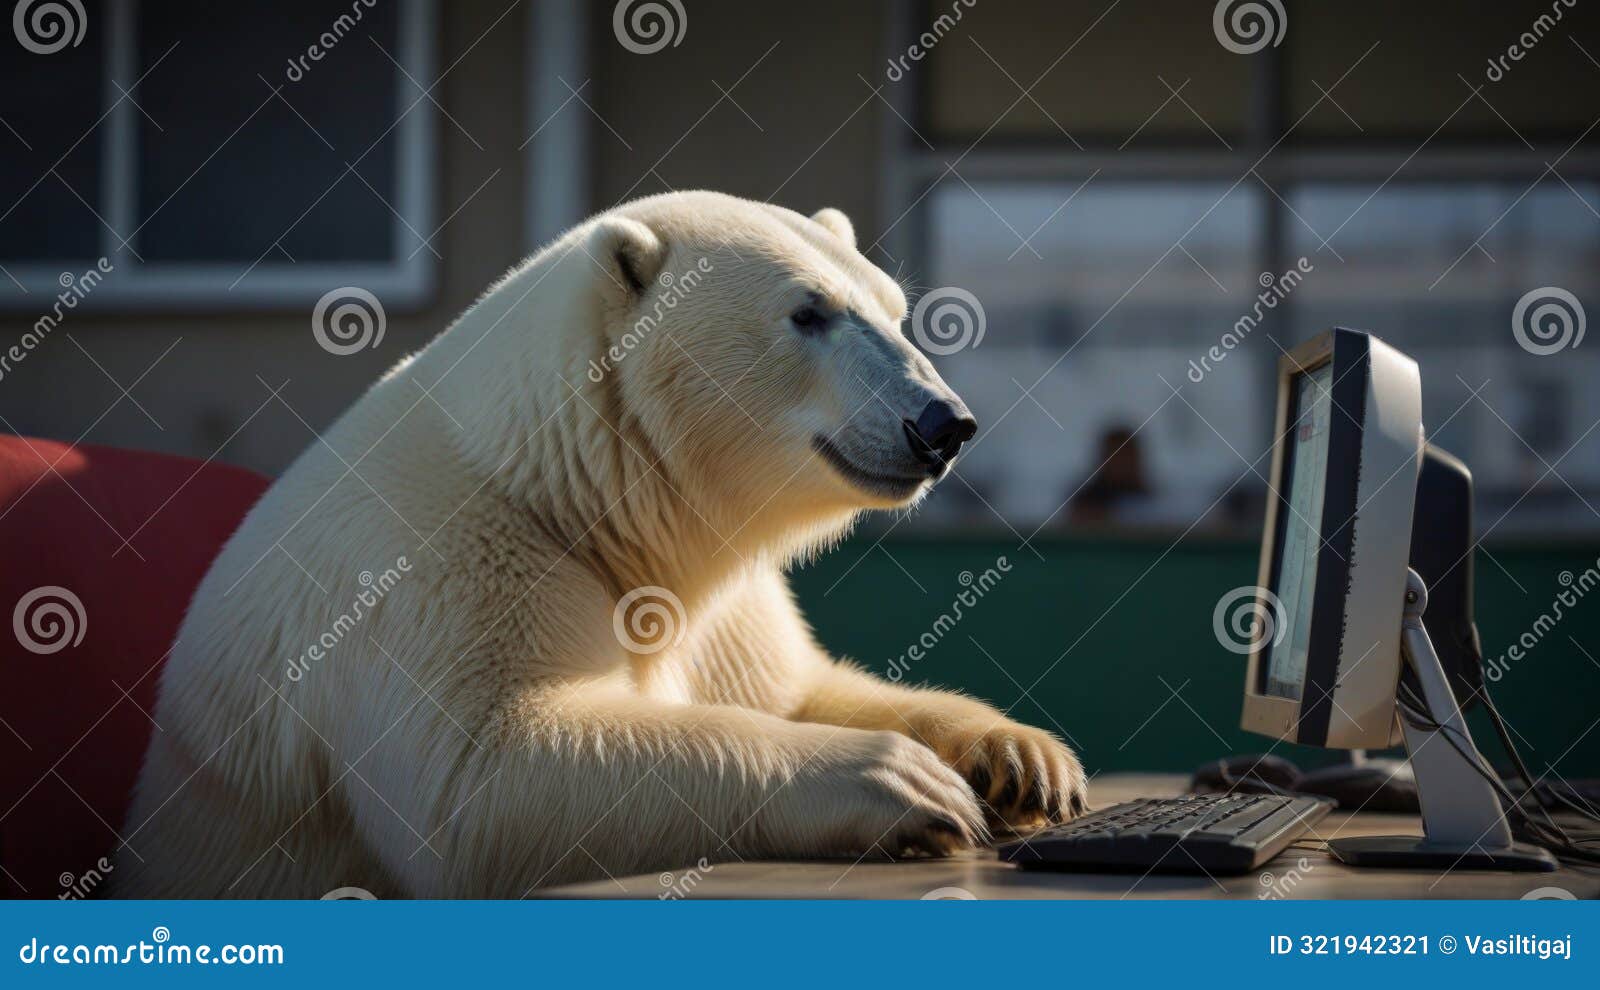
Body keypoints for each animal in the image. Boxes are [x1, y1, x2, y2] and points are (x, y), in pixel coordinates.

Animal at [112, 191, 1087, 898]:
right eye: (809, 313)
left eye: (894, 309)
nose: (943, 423)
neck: (567, 483)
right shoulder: (431, 571)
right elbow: (478, 782)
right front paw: (906, 783)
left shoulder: (727, 607)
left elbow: (797, 688)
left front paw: (1022, 761)